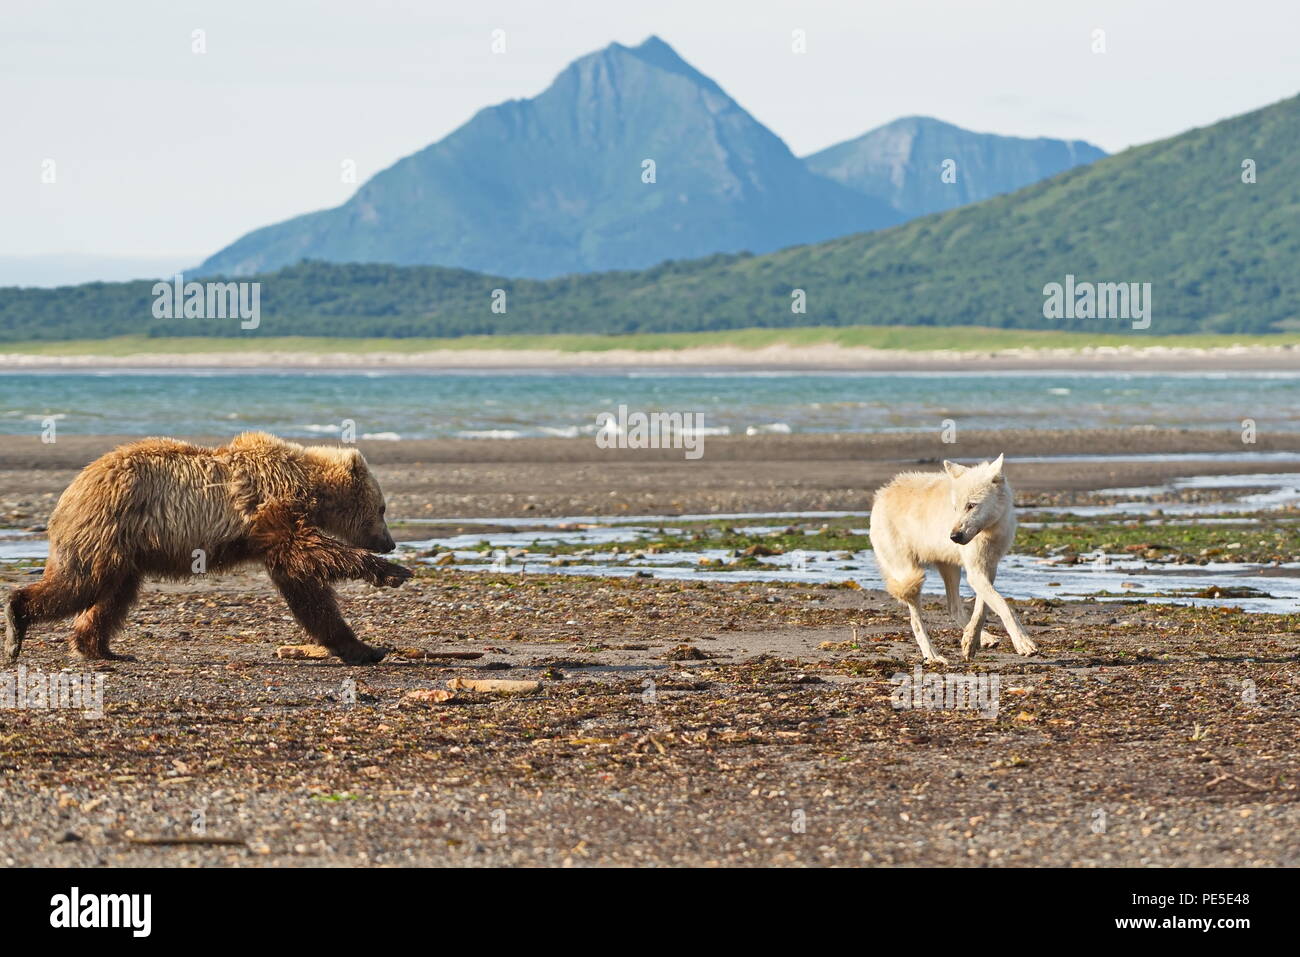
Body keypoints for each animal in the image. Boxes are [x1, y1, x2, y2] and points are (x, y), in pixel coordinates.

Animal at [3, 431, 412, 665]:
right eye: (382, 508)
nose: (390, 543)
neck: (307, 485)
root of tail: (75, 485)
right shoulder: (273, 507)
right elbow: (307, 553)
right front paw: (393, 573)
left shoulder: (271, 530)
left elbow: (307, 590)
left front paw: (364, 648)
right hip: (106, 527)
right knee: (78, 582)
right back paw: (17, 621)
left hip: (125, 551)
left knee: (112, 596)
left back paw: (101, 648)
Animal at [869, 454, 1038, 664]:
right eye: (955, 508)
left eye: (971, 505)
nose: (954, 536)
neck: (989, 530)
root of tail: (883, 492)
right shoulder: (975, 572)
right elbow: (1003, 605)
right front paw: (1023, 643)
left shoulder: (988, 567)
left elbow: (983, 608)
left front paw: (970, 641)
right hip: (910, 576)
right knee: (915, 620)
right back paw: (933, 656)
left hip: (950, 570)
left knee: (953, 607)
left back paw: (984, 638)